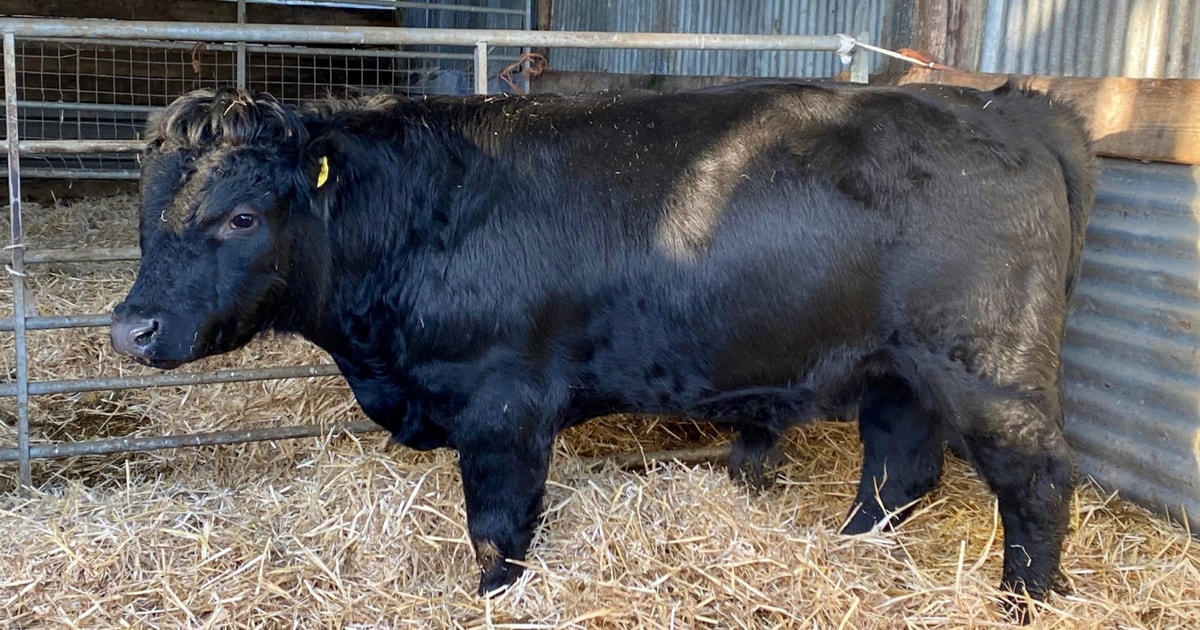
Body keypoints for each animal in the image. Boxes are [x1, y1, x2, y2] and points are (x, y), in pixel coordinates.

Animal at [110, 80, 1094, 614]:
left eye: (241, 216)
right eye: (147, 207)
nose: (129, 327)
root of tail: (1006, 108)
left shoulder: (504, 407)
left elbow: (497, 531)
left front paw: (492, 604)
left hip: (986, 367)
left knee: (1038, 481)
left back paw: (1021, 603)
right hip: (898, 368)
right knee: (897, 471)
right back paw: (848, 554)